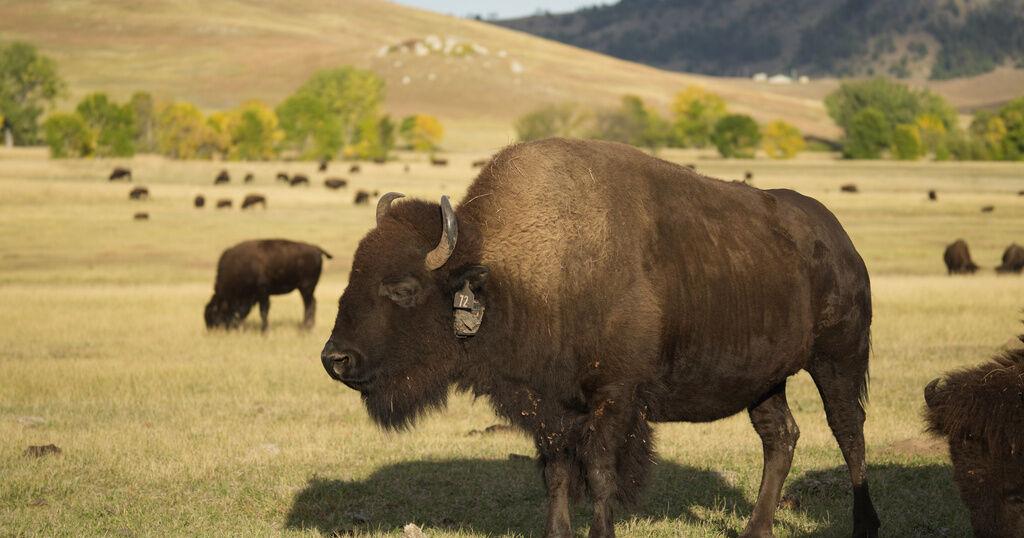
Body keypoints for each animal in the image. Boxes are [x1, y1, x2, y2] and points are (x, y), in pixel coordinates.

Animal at [320, 139, 879, 537]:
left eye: (404, 288)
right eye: (352, 276)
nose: (335, 359)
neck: (514, 271)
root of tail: (840, 240)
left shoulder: (614, 397)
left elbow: (601, 470)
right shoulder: (548, 405)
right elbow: (557, 472)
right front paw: (556, 532)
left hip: (837, 360)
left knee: (848, 431)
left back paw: (864, 524)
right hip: (765, 380)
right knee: (780, 437)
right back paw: (755, 529)